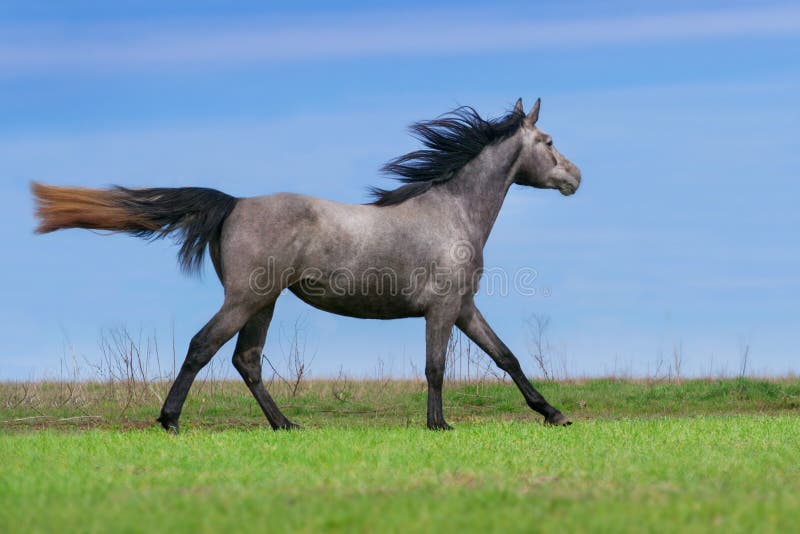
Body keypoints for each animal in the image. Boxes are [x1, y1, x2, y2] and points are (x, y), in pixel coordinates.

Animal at [32, 97, 581, 432]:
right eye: (550, 141)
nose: (575, 177)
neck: (453, 211)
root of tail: (233, 203)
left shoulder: (465, 307)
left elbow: (506, 357)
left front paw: (553, 414)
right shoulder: (442, 309)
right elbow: (436, 366)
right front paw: (438, 424)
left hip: (264, 303)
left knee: (246, 360)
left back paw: (285, 424)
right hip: (246, 298)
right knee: (203, 346)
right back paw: (170, 420)